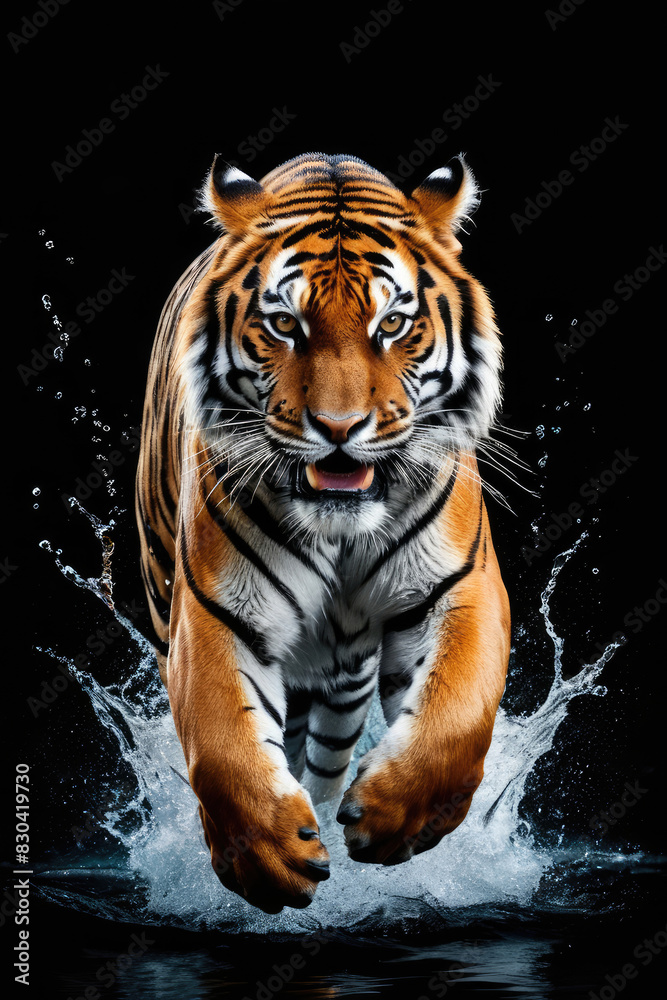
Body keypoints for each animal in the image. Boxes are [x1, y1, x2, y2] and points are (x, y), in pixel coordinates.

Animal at [135, 151, 511, 914]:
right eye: (285, 324)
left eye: (392, 323)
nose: (338, 429)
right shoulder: (211, 612)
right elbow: (223, 743)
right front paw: (268, 856)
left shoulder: (461, 586)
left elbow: (455, 719)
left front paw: (392, 821)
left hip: (345, 674)